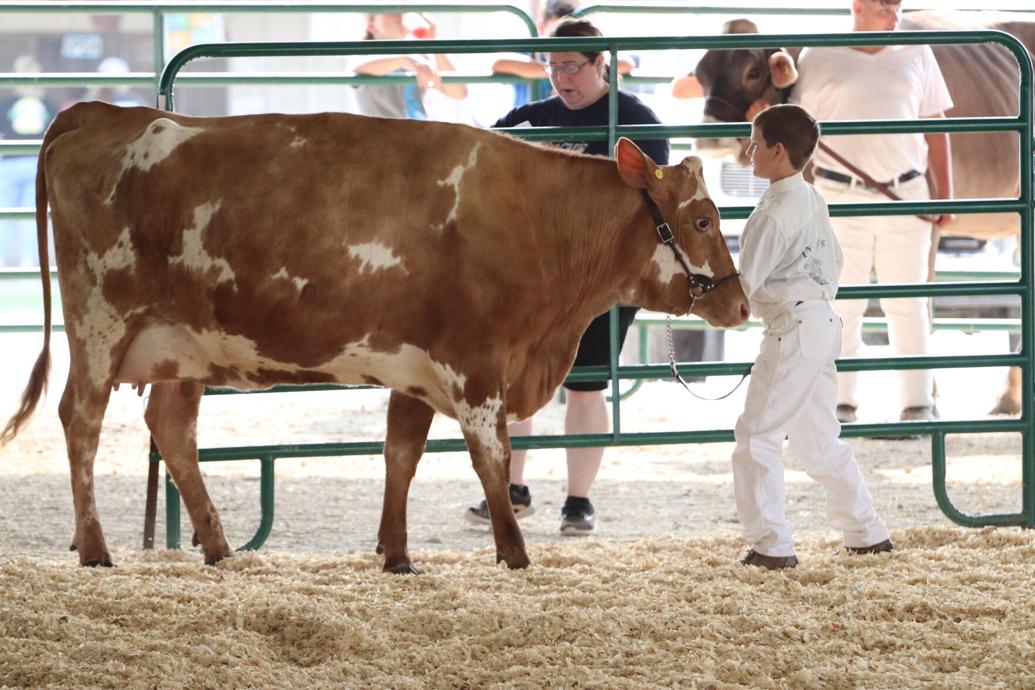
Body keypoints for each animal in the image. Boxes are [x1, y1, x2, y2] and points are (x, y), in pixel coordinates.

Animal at [0, 101, 749, 573]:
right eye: (703, 220)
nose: (740, 303)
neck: (532, 218)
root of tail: (99, 112)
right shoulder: (475, 367)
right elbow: (492, 459)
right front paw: (514, 553)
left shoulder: (414, 368)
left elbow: (400, 457)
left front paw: (396, 554)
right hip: (101, 326)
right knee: (82, 421)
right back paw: (95, 547)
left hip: (185, 347)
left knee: (173, 431)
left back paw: (217, 547)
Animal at [680, 10, 1035, 415]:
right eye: (702, 73)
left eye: (752, 71)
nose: (710, 135)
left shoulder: (931, 217)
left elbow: (924, 308)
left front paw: (927, 398)